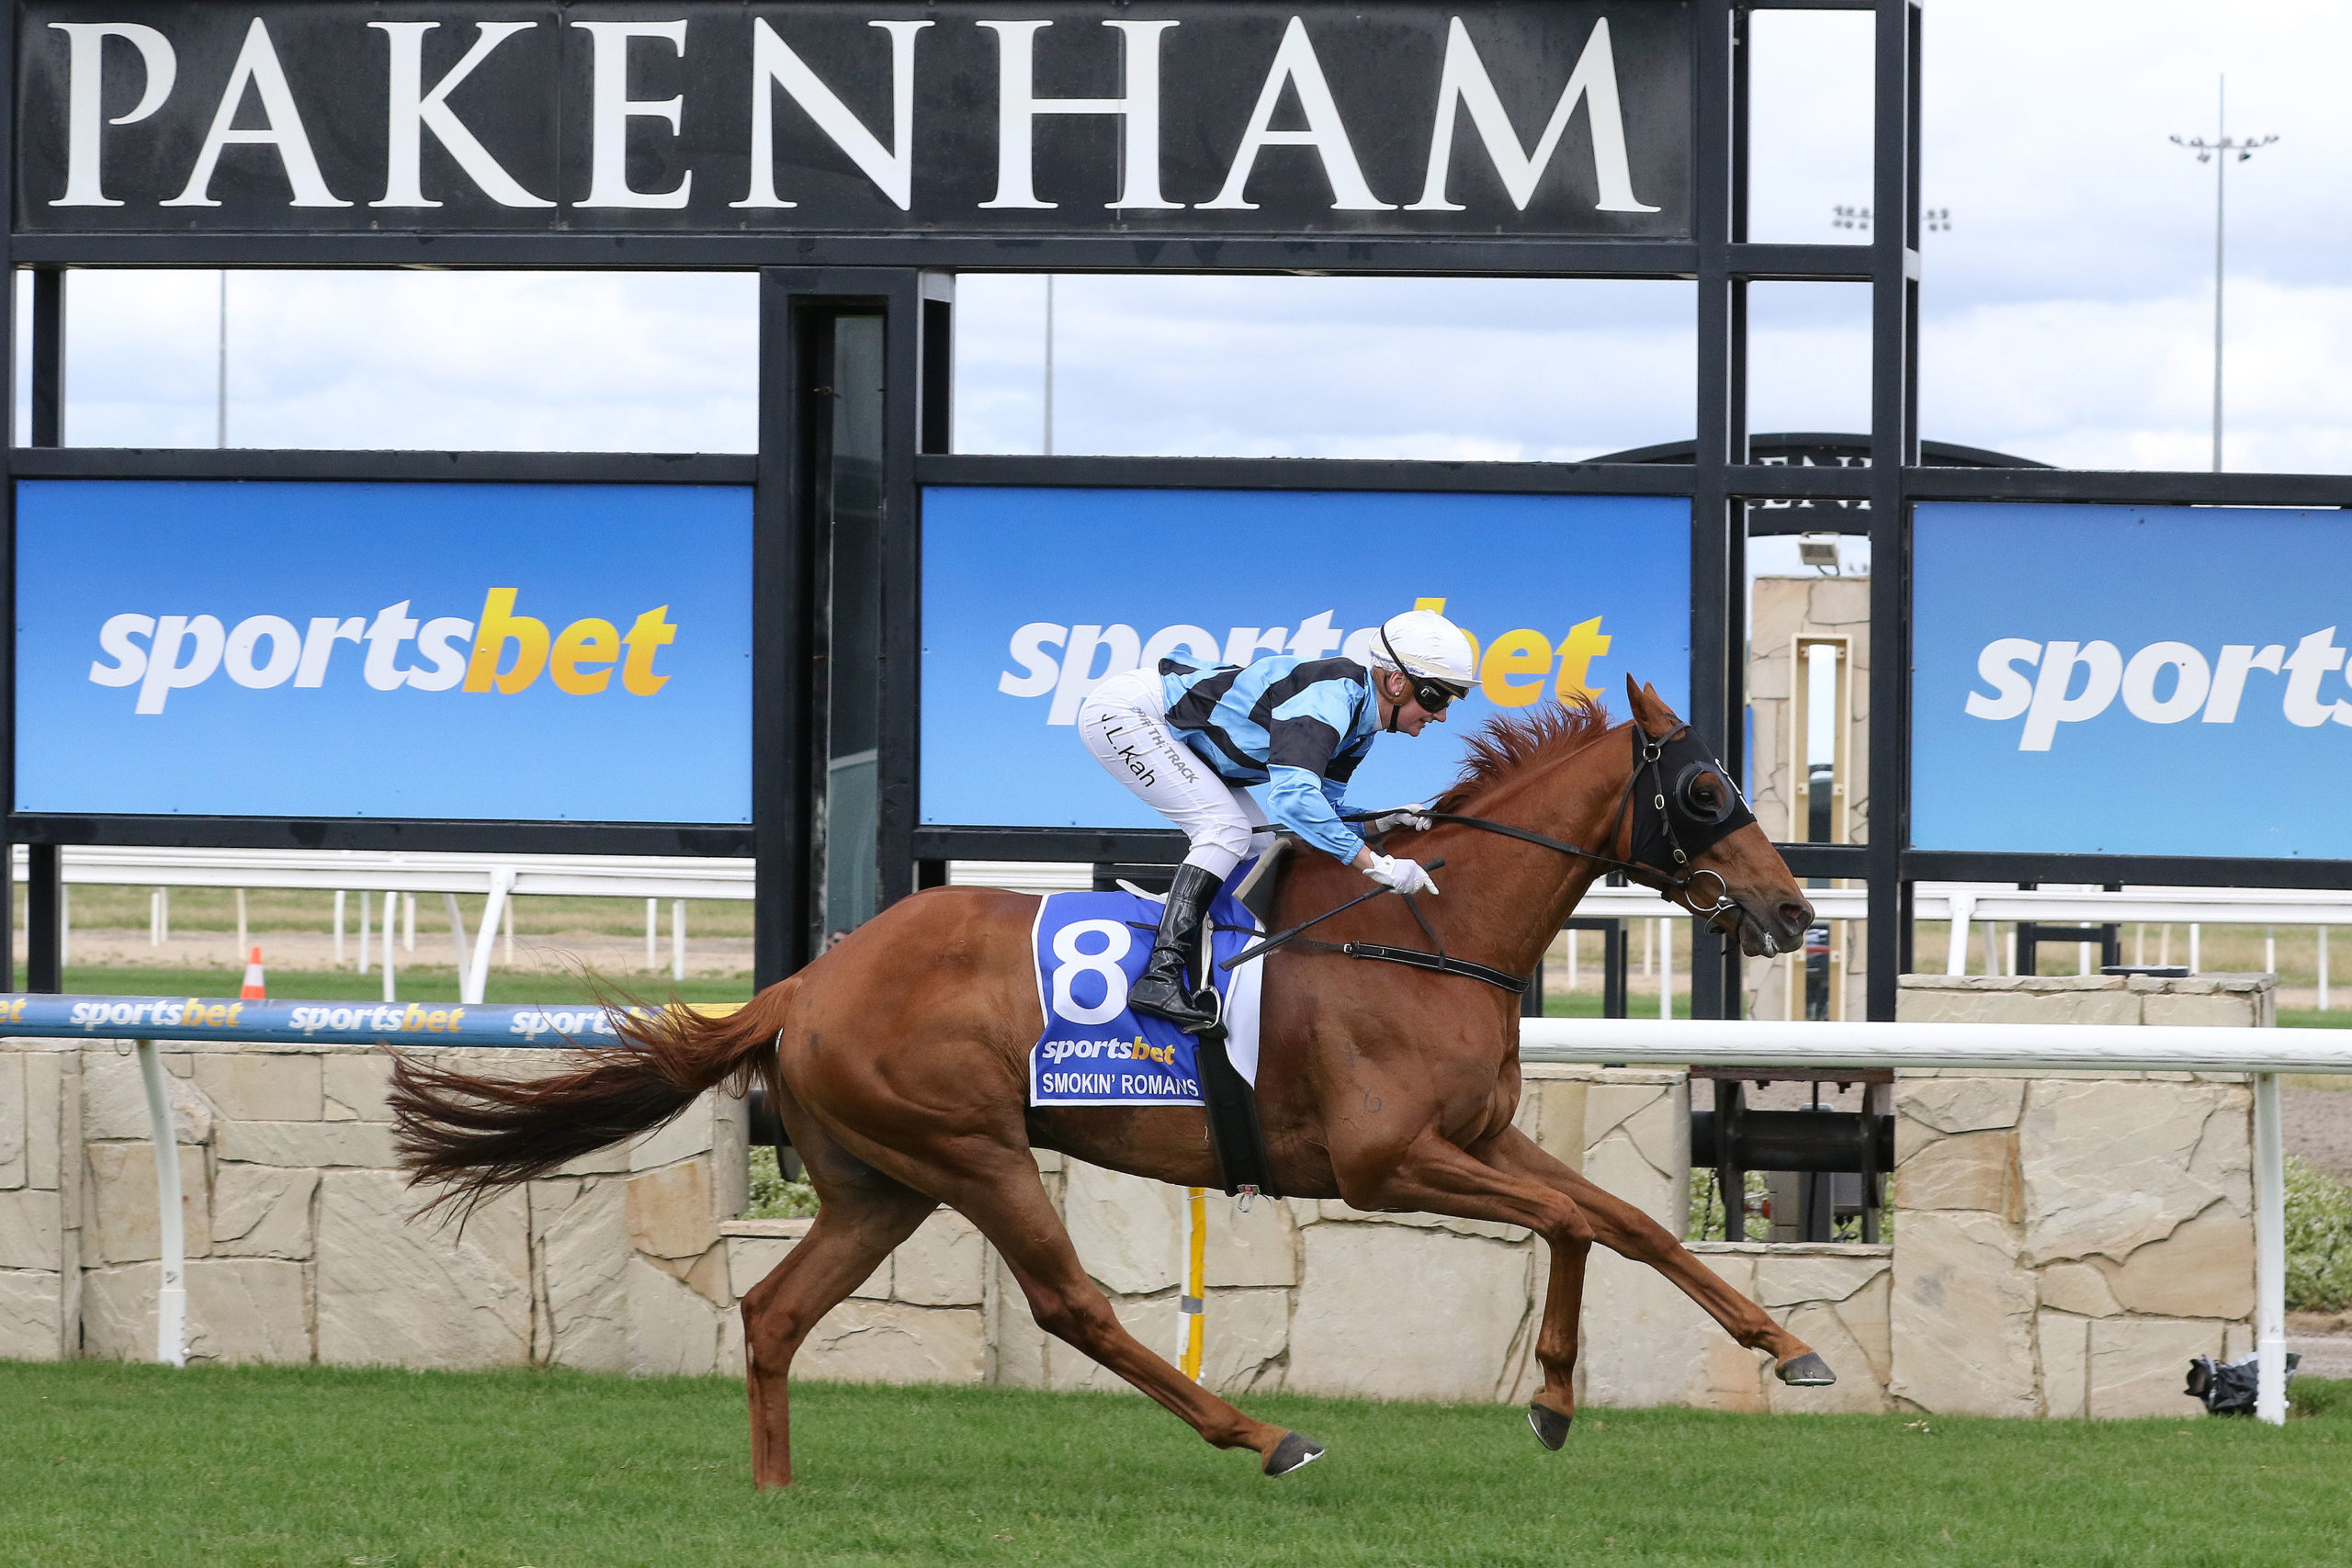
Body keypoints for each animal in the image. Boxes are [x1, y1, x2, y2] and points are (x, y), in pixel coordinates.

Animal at [389, 675, 1826, 1488]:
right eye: (1707, 787)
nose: (1794, 911)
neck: (1423, 931)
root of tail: (808, 984)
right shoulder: (1383, 1161)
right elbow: (1578, 1221)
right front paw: (1553, 1398)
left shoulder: (1475, 1138)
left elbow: (1627, 1221)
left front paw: (1787, 1347)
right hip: (972, 1150)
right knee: (1070, 1303)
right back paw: (1265, 1436)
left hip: (882, 1184)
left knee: (772, 1311)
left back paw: (776, 1497)